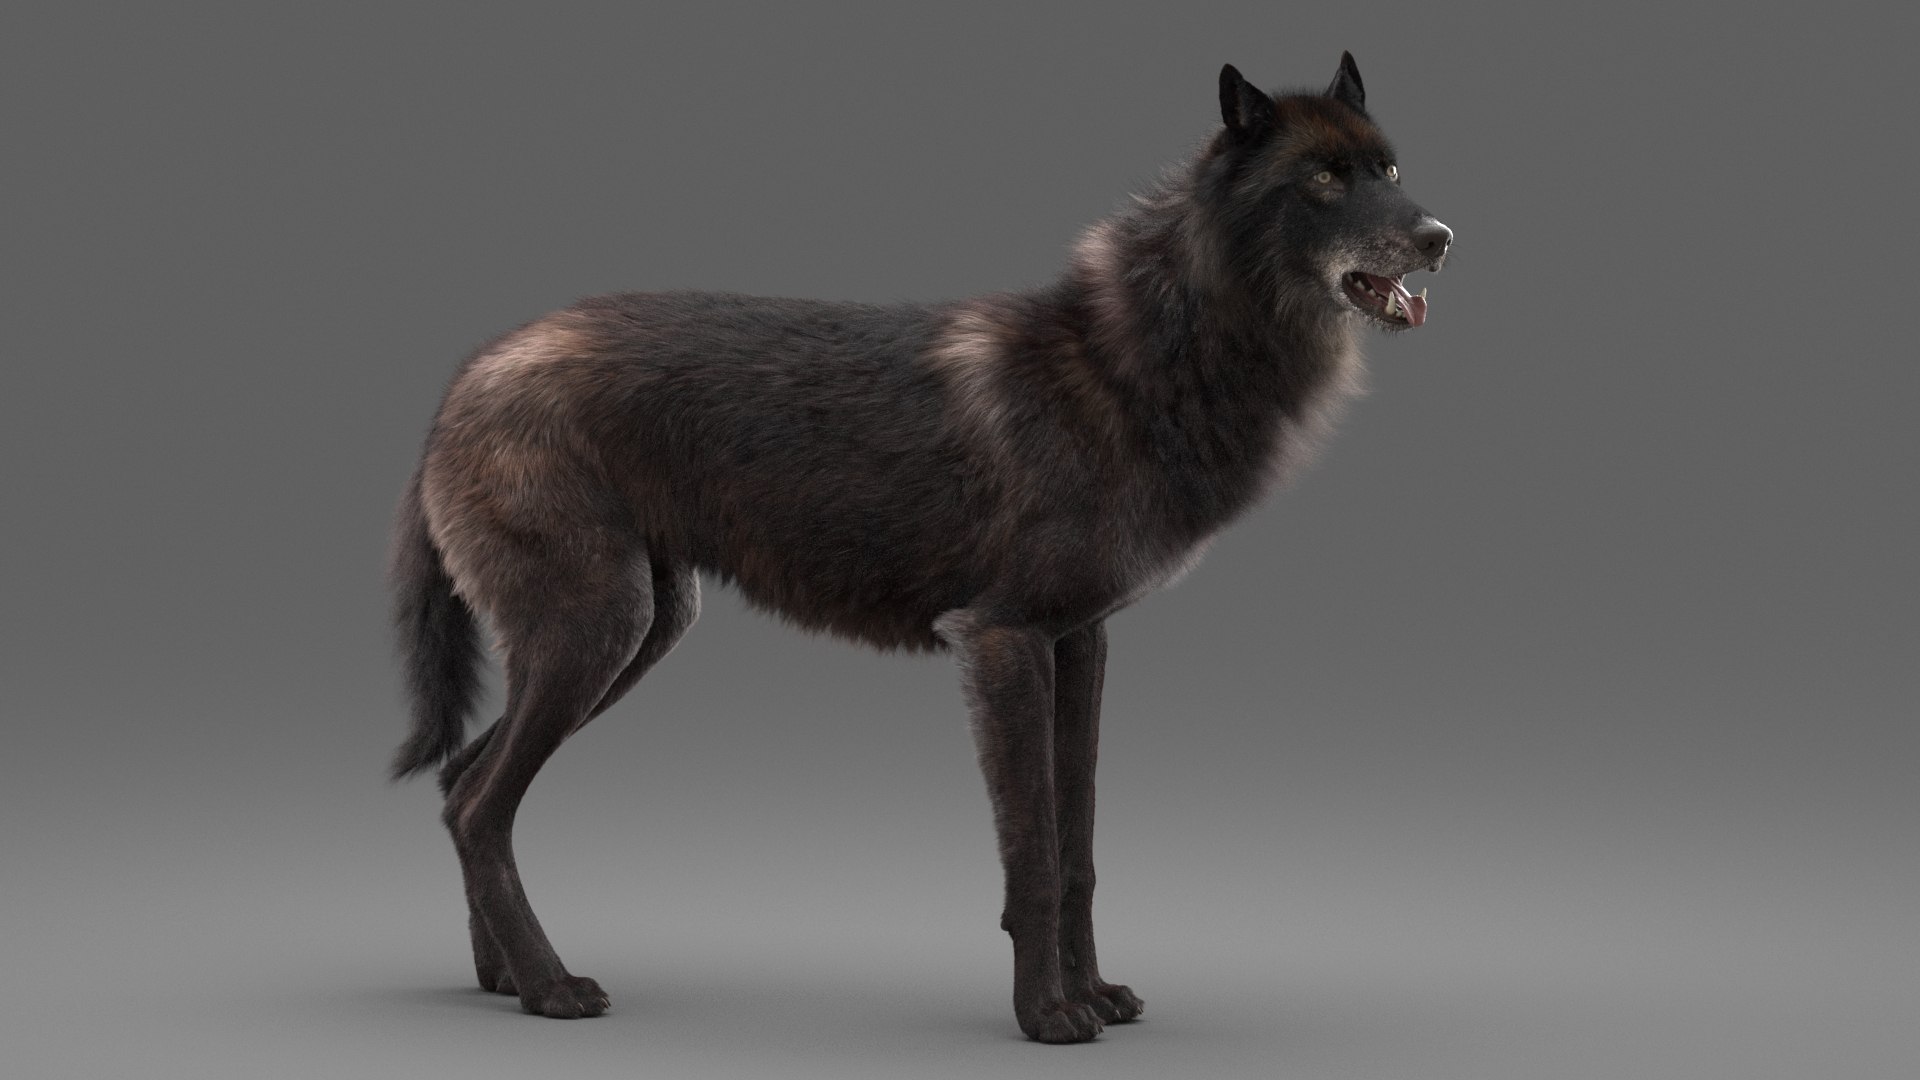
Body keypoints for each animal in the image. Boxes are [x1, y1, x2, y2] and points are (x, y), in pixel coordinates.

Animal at [388, 53, 1450, 1043]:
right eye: (1323, 178)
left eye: (1390, 167)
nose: (1440, 237)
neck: (1136, 363)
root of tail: (461, 380)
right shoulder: (1003, 641)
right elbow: (1033, 858)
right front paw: (1046, 1016)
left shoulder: (1081, 641)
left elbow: (1079, 851)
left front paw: (1096, 994)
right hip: (599, 632)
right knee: (480, 804)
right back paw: (550, 988)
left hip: (636, 634)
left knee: (459, 783)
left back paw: (500, 978)